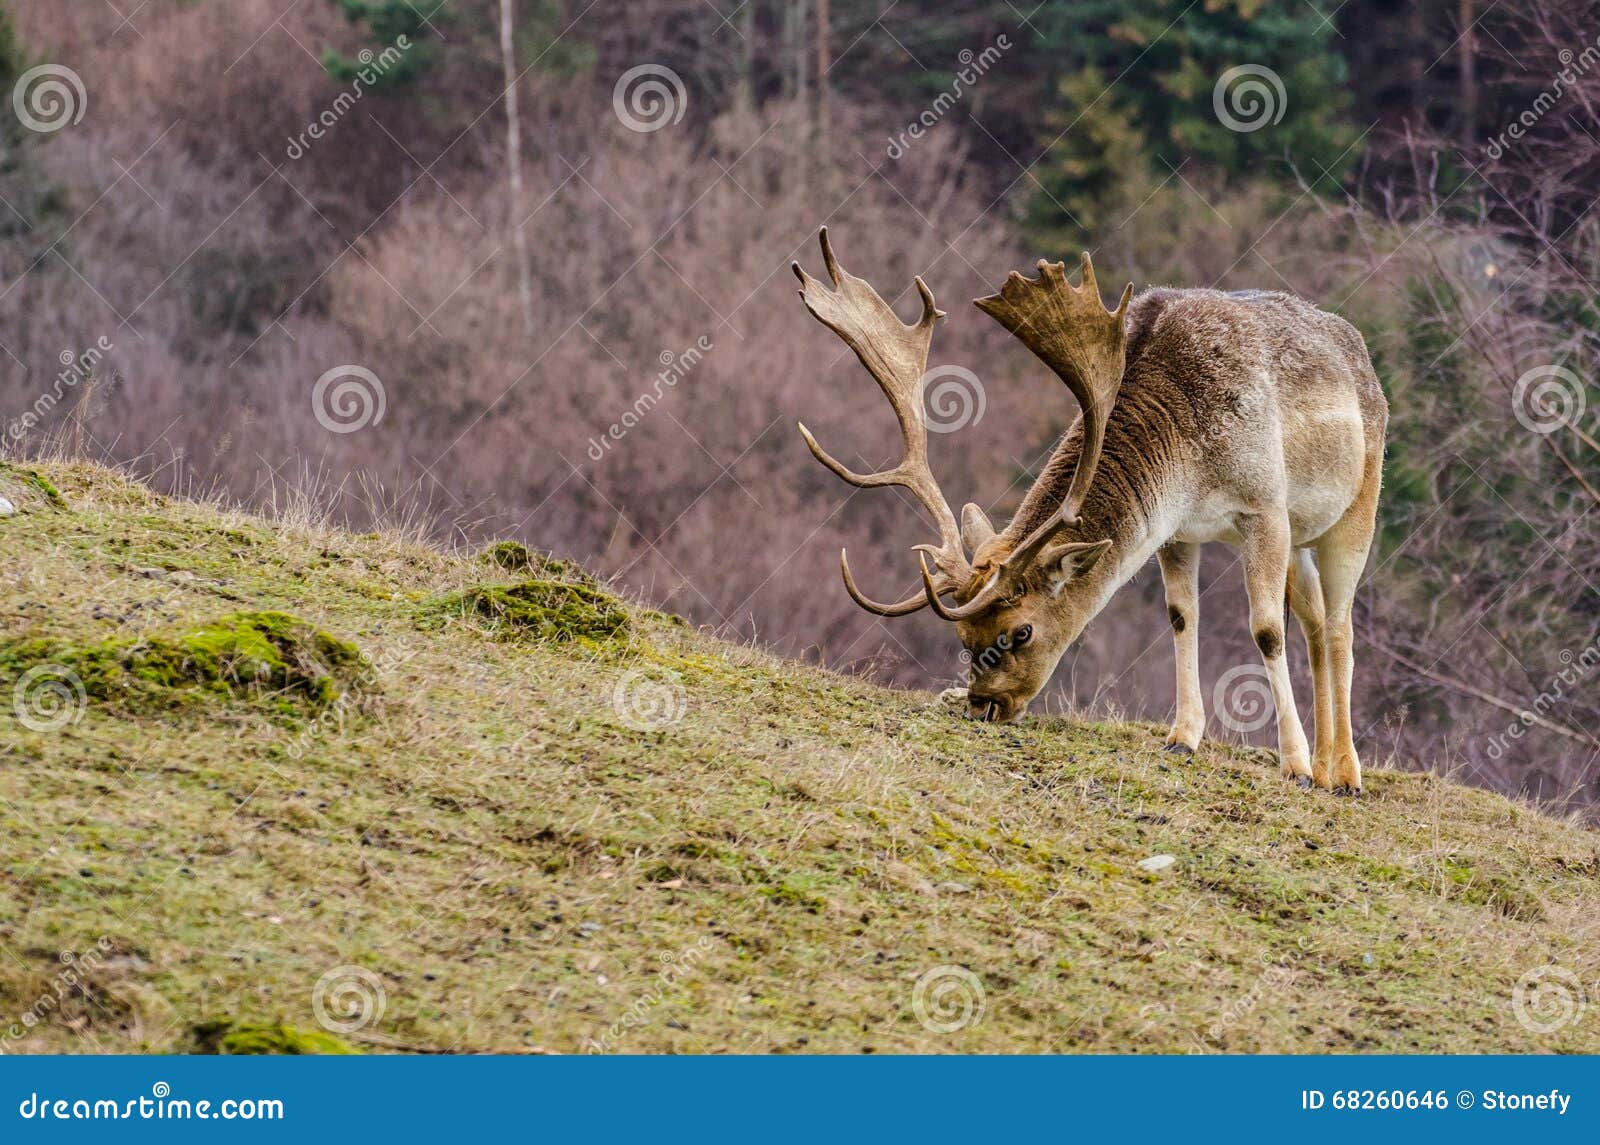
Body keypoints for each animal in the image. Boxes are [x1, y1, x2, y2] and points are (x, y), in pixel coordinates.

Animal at [792, 228, 1387, 793]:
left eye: (1022, 632)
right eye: (963, 640)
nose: (984, 706)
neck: (1190, 458)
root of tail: (1362, 354)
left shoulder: (1263, 505)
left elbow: (1265, 630)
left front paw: (1295, 766)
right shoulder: (1180, 530)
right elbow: (1181, 616)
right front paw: (1182, 738)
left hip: (1359, 503)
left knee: (1340, 624)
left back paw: (1343, 774)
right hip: (1301, 537)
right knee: (1314, 620)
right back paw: (1330, 763)